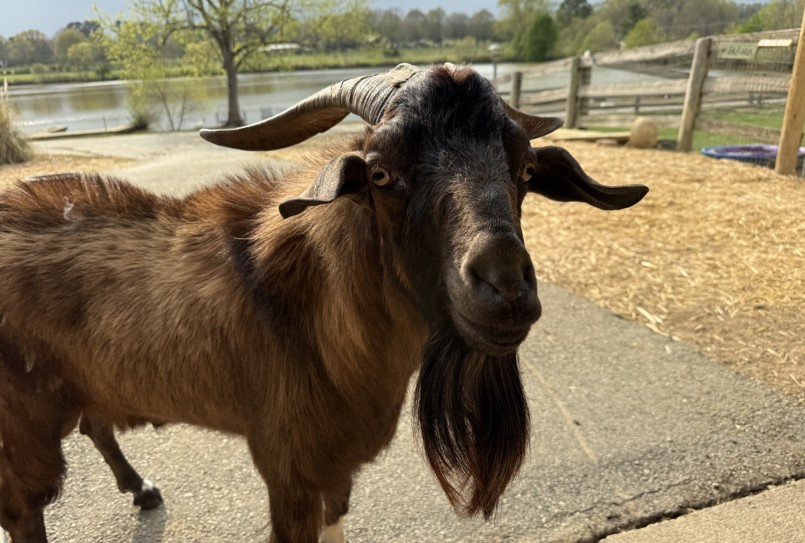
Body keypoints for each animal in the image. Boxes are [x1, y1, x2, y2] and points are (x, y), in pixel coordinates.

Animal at [0, 63, 648, 543]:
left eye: (528, 169)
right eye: (381, 174)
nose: (505, 287)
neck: (315, 315)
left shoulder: (336, 471)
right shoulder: (288, 470)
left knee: (95, 423)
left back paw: (143, 490)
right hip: (24, 439)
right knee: (27, 510)